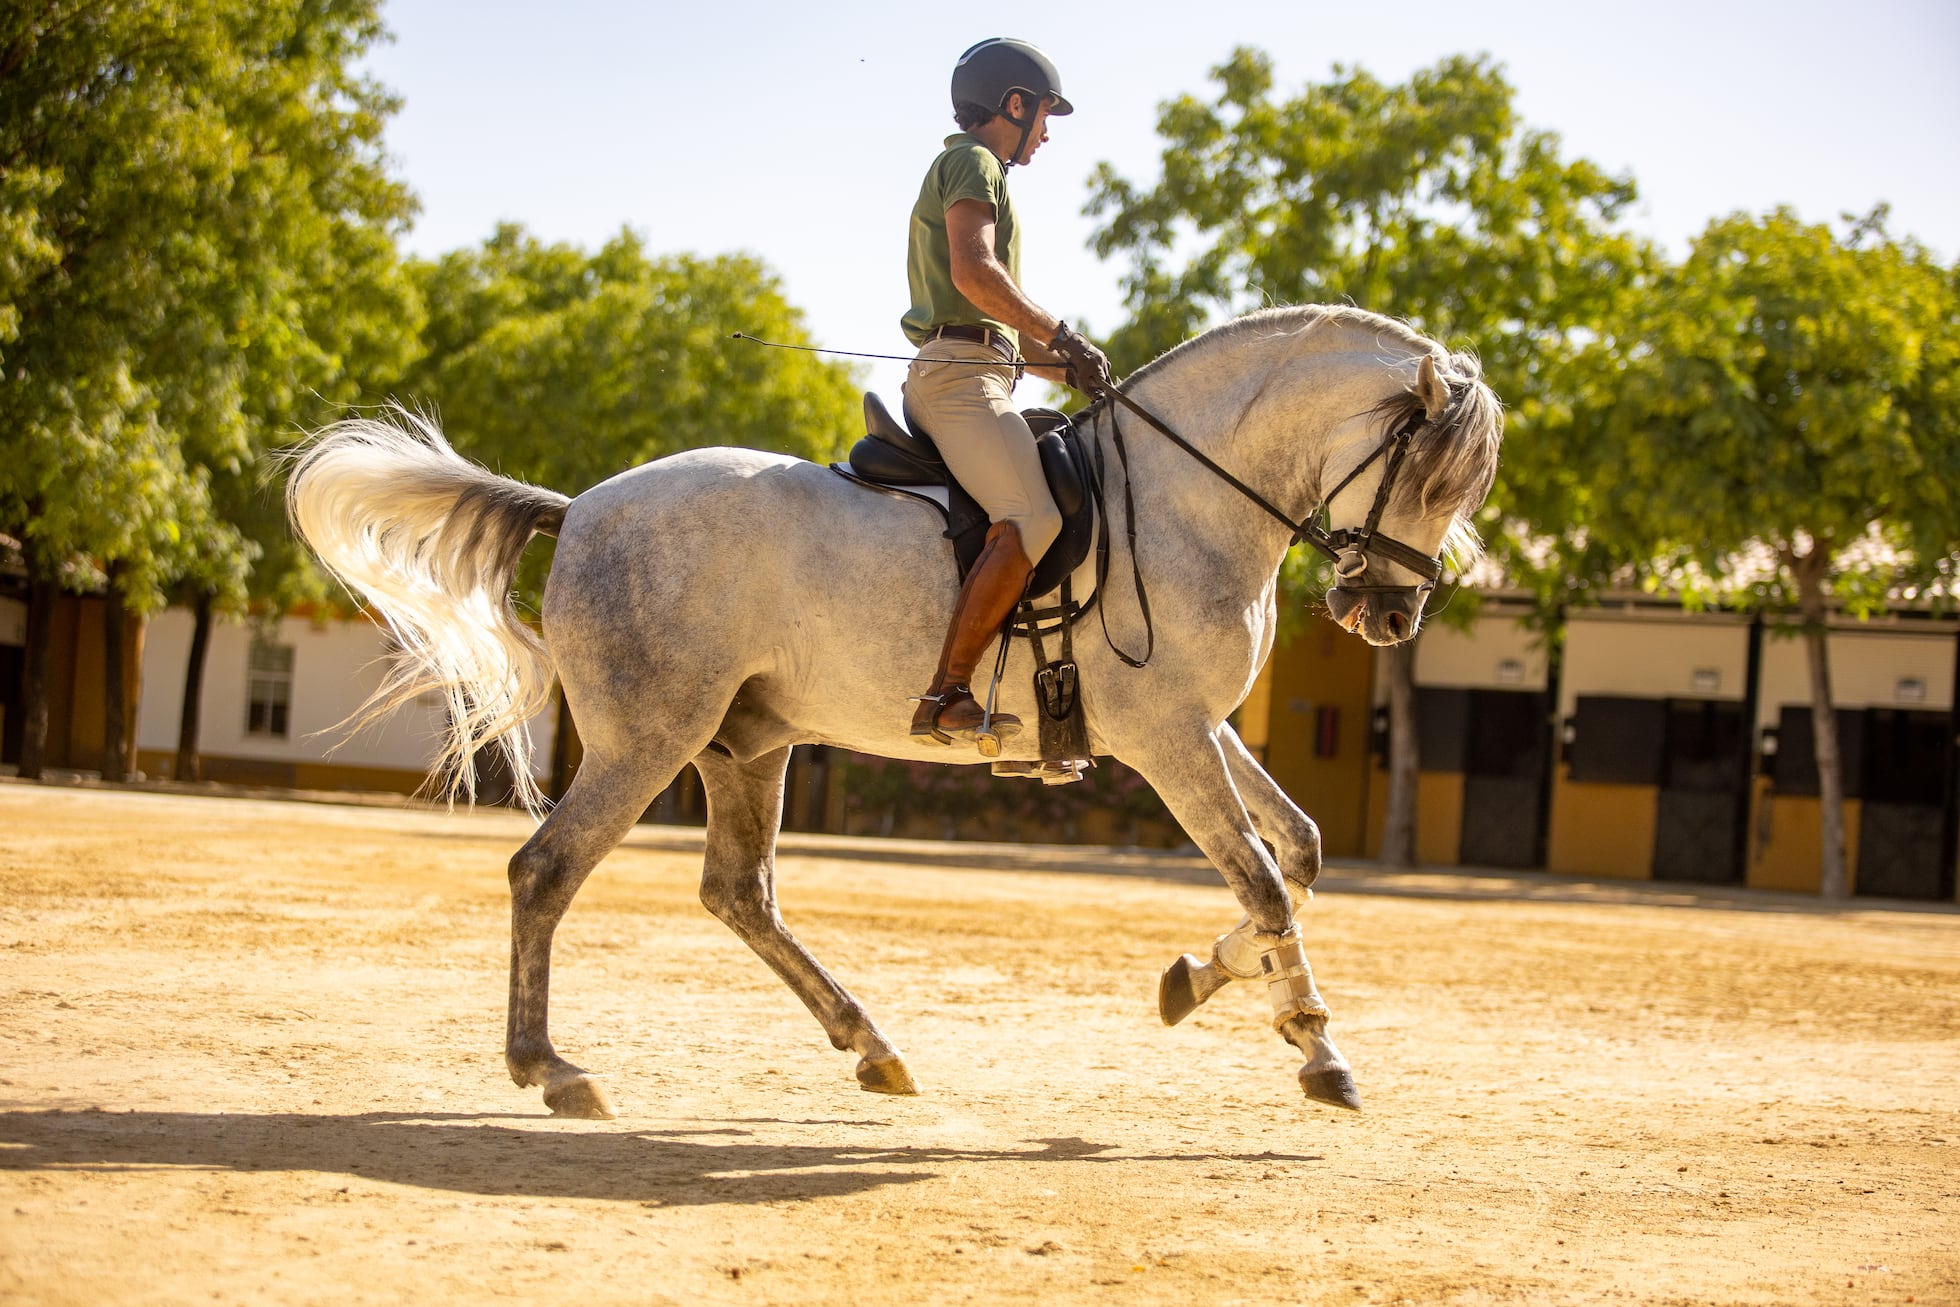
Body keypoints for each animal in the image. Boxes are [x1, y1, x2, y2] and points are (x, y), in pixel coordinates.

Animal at [287, 304, 1503, 1119]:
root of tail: (579, 504)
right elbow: (1262, 878)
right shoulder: (1168, 739)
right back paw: (553, 1068)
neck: (1184, 495)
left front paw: (1217, 988)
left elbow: (1295, 855)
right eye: (1432, 478)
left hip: (745, 744)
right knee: (546, 871)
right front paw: (1310, 1046)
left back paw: (870, 1044)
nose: (1390, 612)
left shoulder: (1197, 728)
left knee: (739, 893)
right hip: (647, 740)